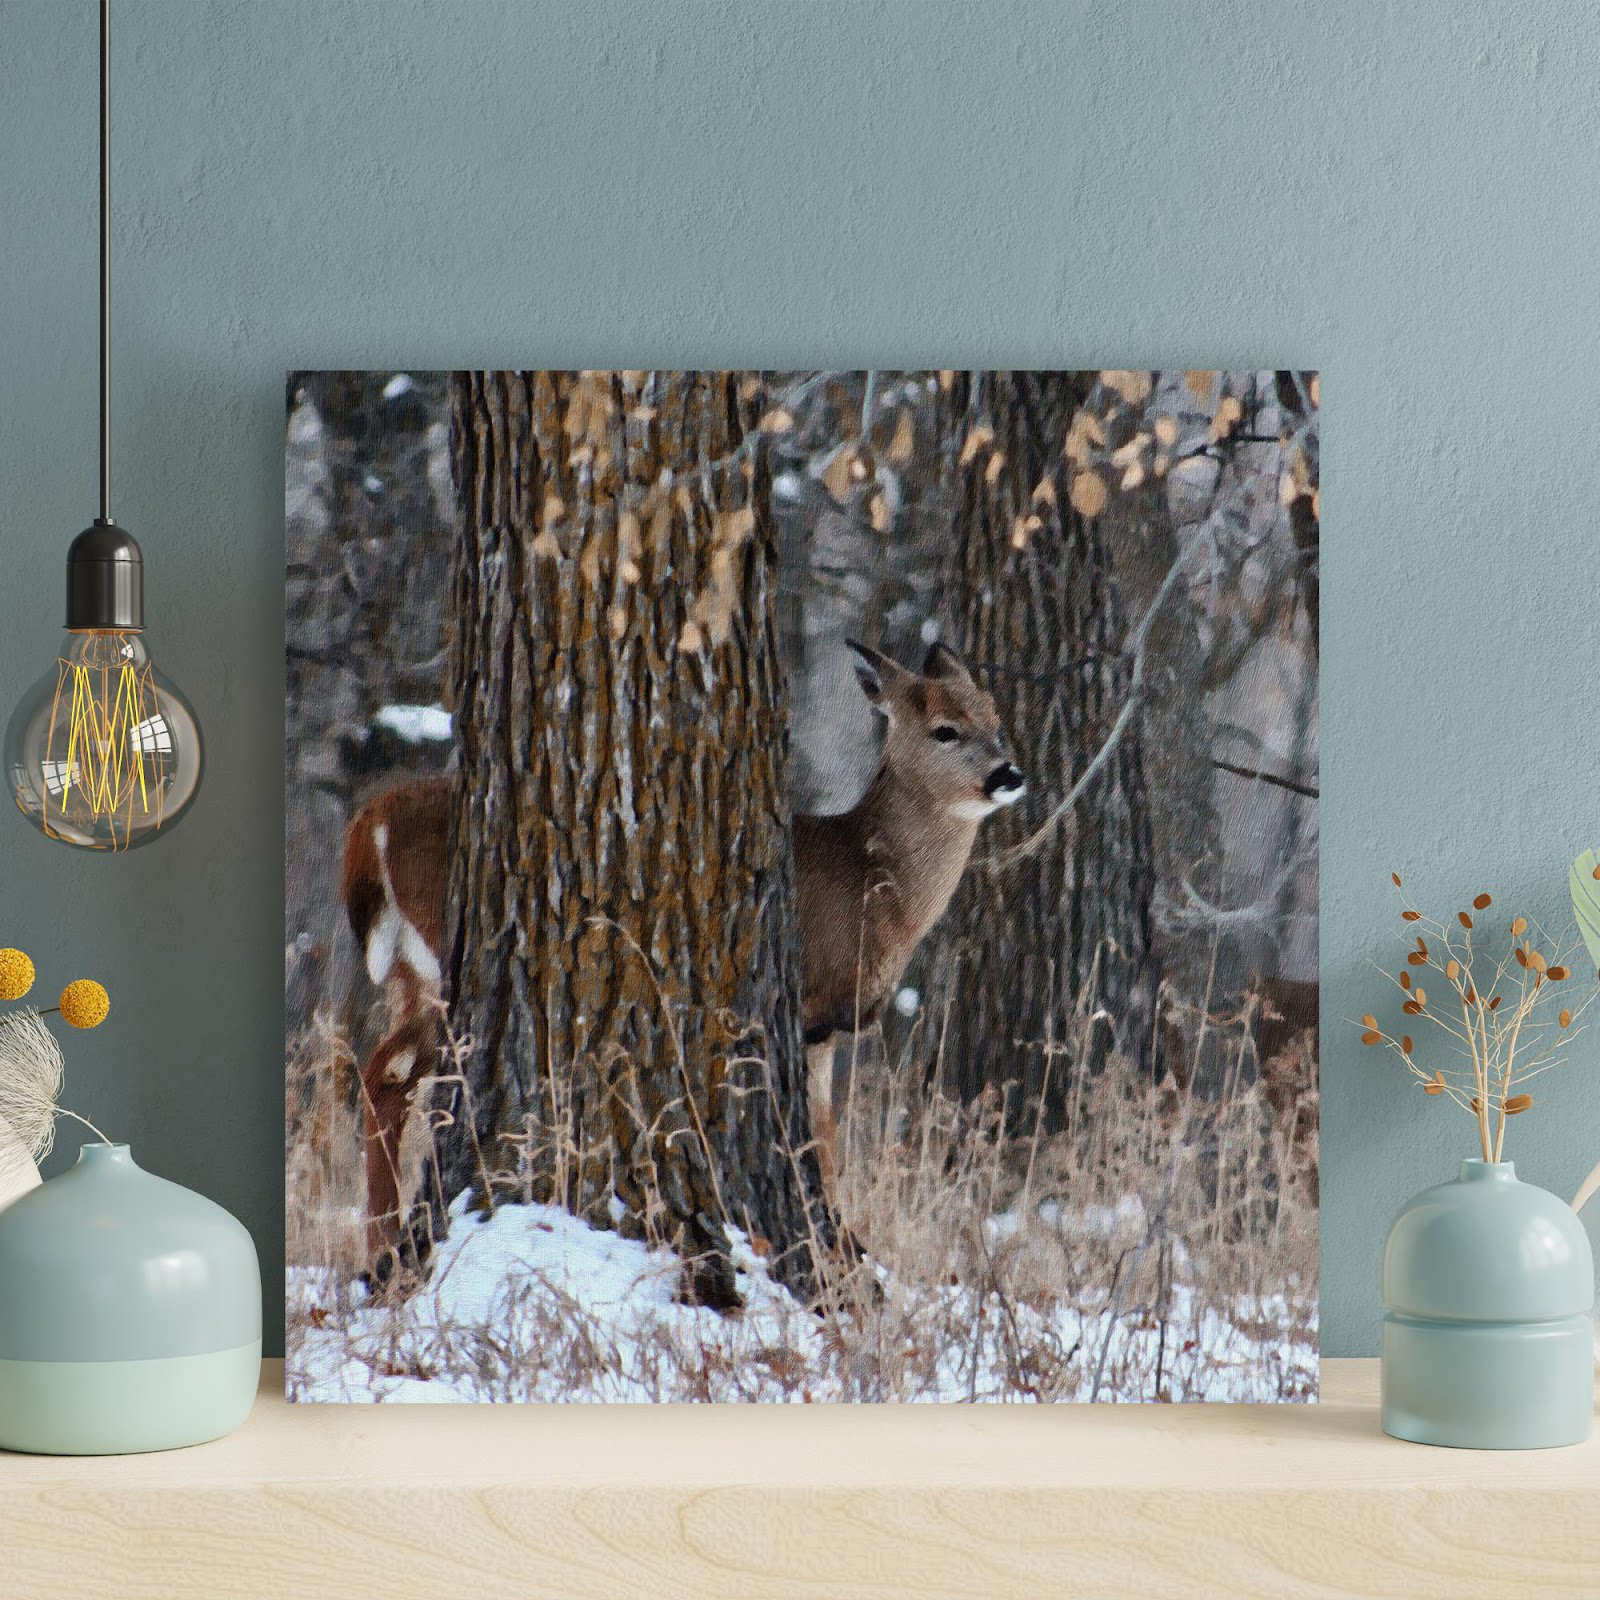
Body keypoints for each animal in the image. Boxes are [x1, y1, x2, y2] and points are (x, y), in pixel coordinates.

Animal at [339, 639, 1024, 1269]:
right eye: (944, 729)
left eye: (996, 718)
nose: (1009, 775)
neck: (874, 881)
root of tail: (370, 824)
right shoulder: (812, 1008)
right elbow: (820, 1141)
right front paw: (835, 1243)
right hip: (446, 959)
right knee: (392, 1074)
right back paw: (384, 1243)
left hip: (411, 972)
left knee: (382, 1072)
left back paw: (380, 1245)